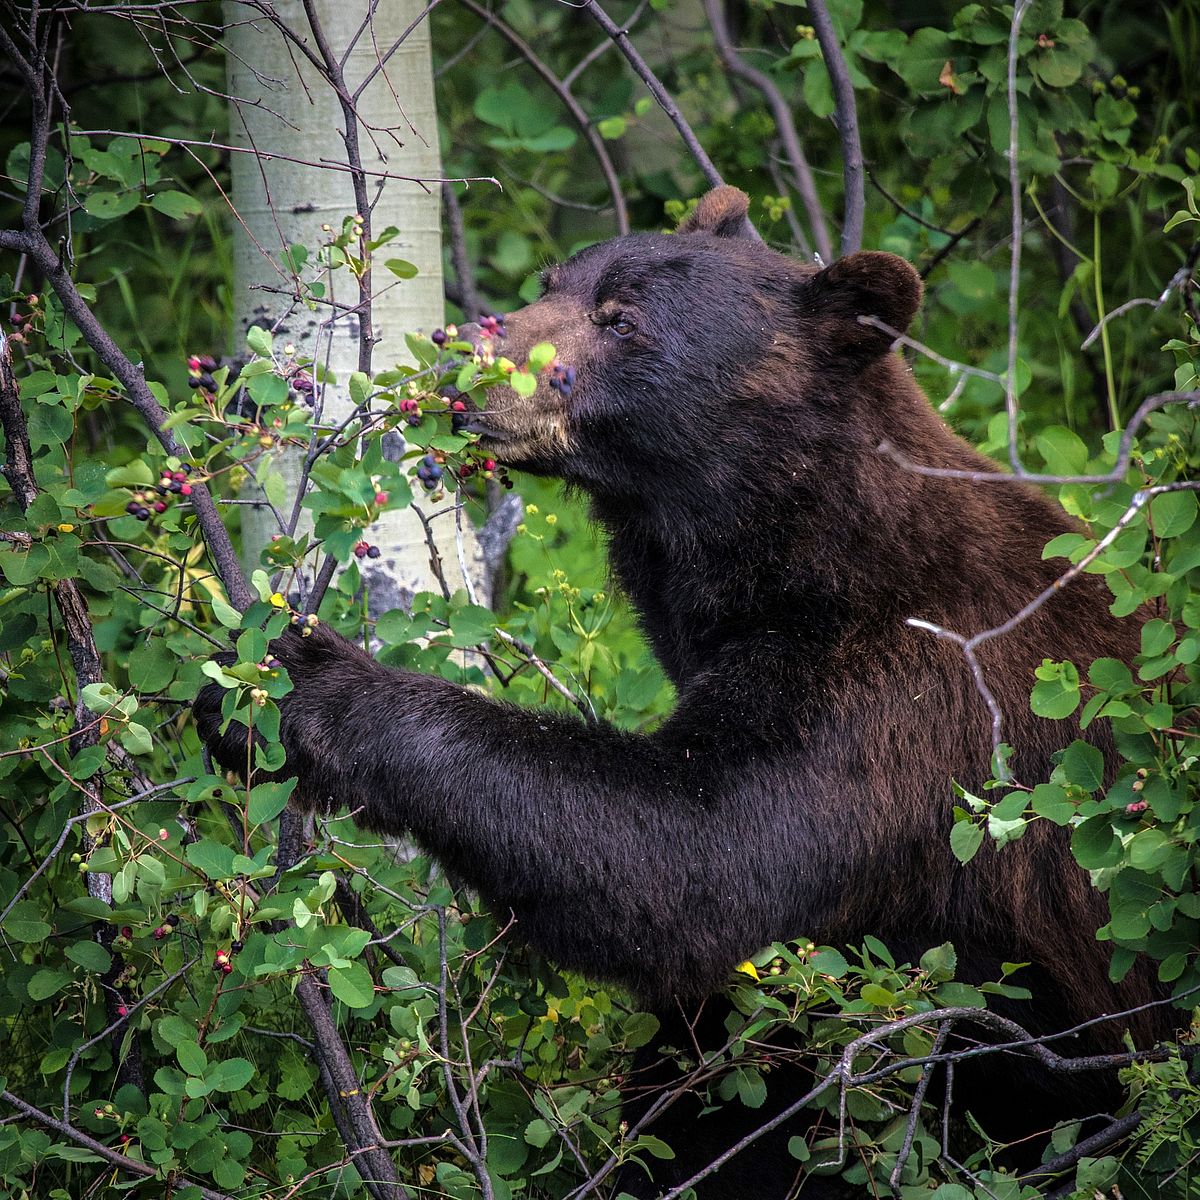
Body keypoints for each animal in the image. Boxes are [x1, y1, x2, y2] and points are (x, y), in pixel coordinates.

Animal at [196, 186, 1179, 1198]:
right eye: (551, 280)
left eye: (622, 320)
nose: (459, 355)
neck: (802, 545)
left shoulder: (905, 694)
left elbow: (698, 852)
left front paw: (307, 687)